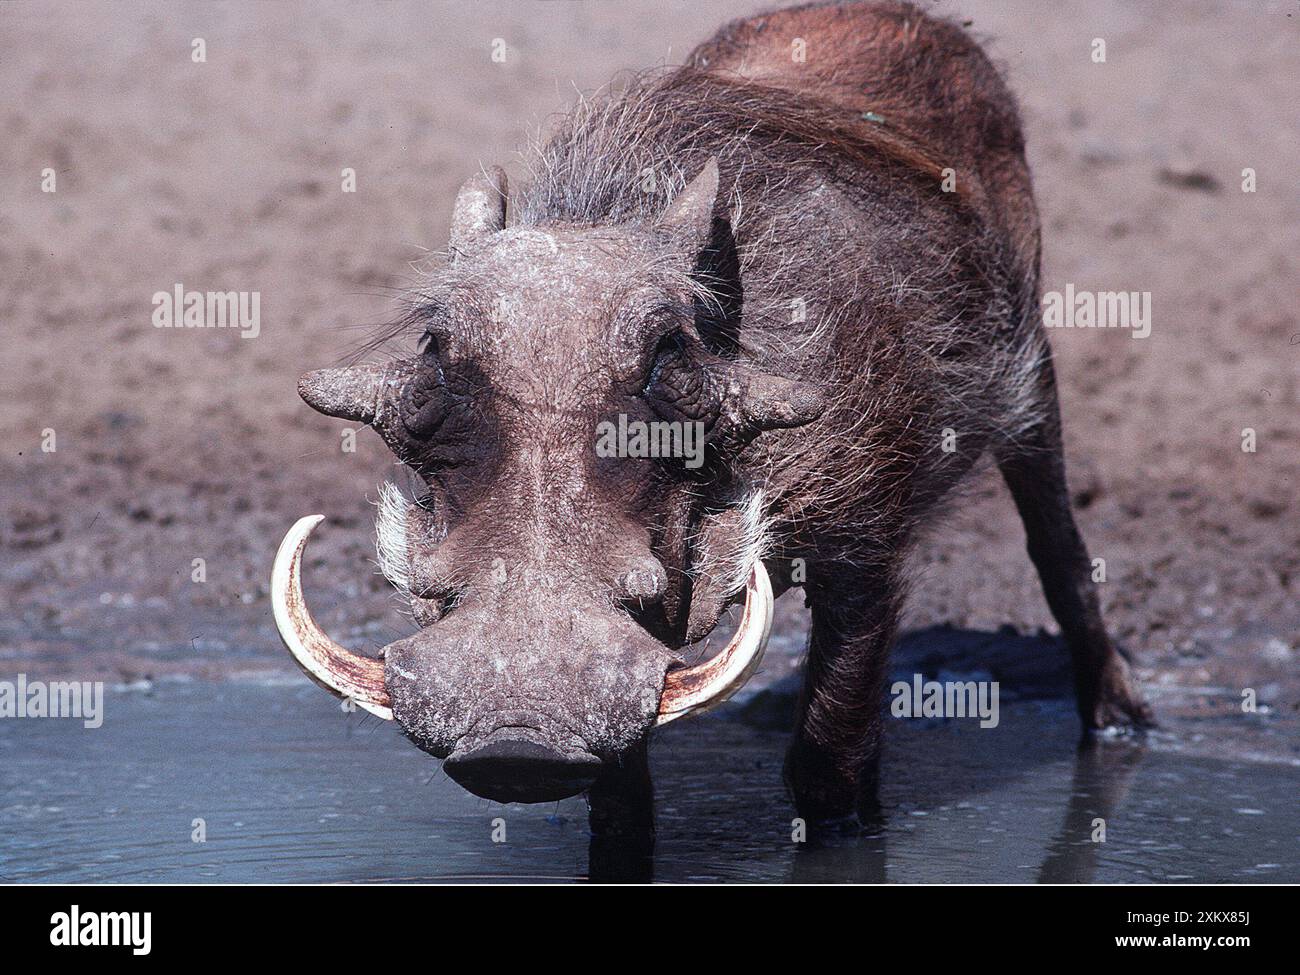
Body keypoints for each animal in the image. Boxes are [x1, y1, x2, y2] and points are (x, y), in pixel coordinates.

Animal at [272, 0, 1152, 827]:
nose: (516, 741)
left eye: (669, 351)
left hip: (1032, 372)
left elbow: (828, 759)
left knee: (1059, 546)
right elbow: (622, 795)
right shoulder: (641, 657)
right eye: (433, 346)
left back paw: (1123, 722)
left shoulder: (868, 540)